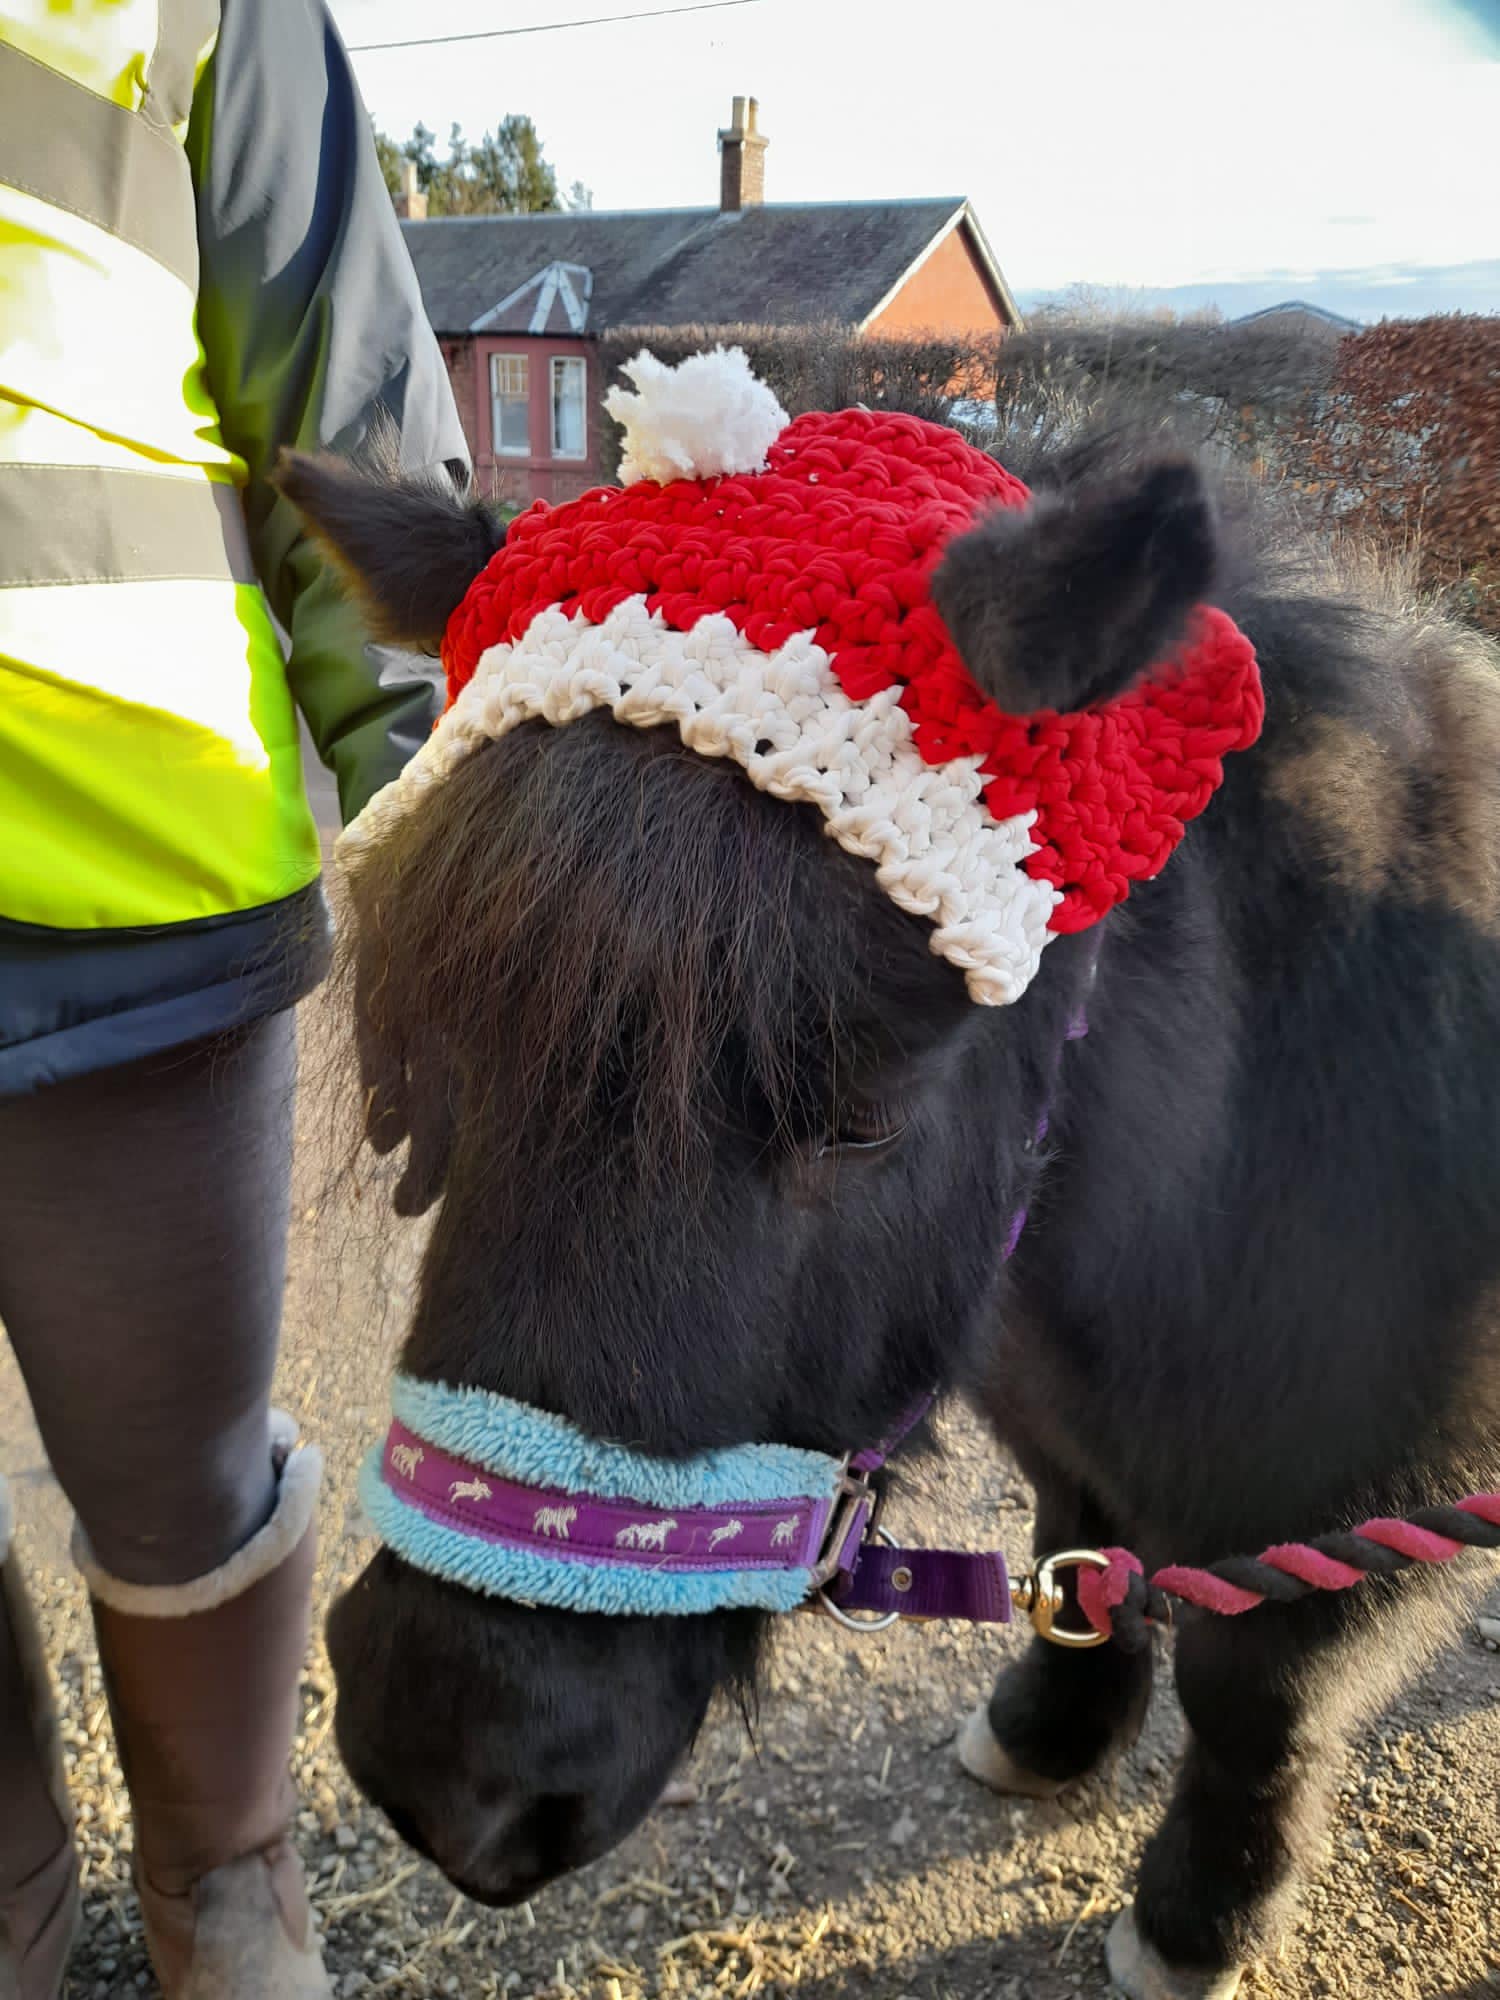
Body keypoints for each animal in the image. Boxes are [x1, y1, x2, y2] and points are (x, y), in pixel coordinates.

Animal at [280, 405, 1500, 2000]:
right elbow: (1079, 1553)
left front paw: (1199, 1922)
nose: (451, 1769)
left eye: (859, 1115)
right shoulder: (1064, 1436)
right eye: (444, 1057)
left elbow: (1258, 1694)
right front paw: (1048, 1731)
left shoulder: (1361, 1490)